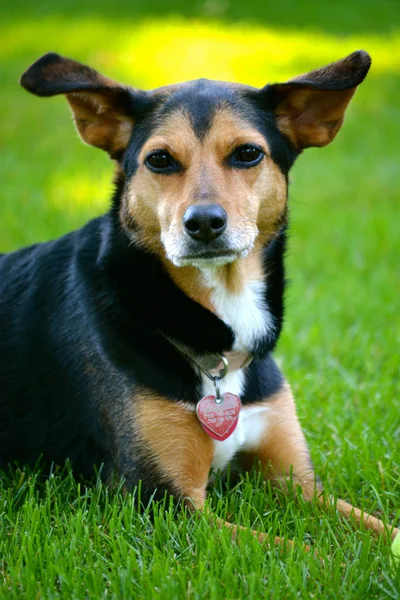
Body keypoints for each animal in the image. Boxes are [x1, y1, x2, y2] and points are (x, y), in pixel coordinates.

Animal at [1, 49, 398, 552]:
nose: (204, 222)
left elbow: (376, 529)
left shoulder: (296, 481)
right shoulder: (162, 502)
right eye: (160, 160)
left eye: (247, 153)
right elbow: (306, 552)